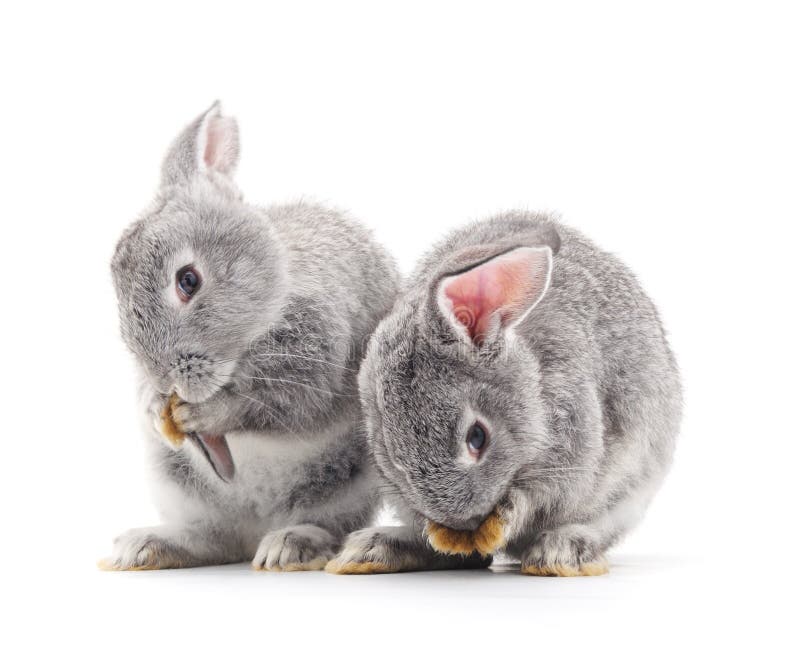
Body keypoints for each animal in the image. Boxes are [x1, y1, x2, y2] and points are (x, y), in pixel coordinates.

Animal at [101, 102, 399, 571]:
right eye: (116, 283)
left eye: (188, 280)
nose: (166, 380)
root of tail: (255, 525)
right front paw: (150, 404)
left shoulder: (318, 361)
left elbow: (274, 408)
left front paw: (205, 414)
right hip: (178, 482)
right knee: (214, 539)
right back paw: (147, 545)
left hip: (345, 481)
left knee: (323, 523)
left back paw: (290, 545)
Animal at [327, 211, 681, 575]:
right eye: (393, 454)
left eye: (477, 437)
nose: (464, 521)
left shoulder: (570, 457)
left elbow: (535, 499)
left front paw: (506, 516)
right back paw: (374, 548)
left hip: (631, 492)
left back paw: (561, 552)